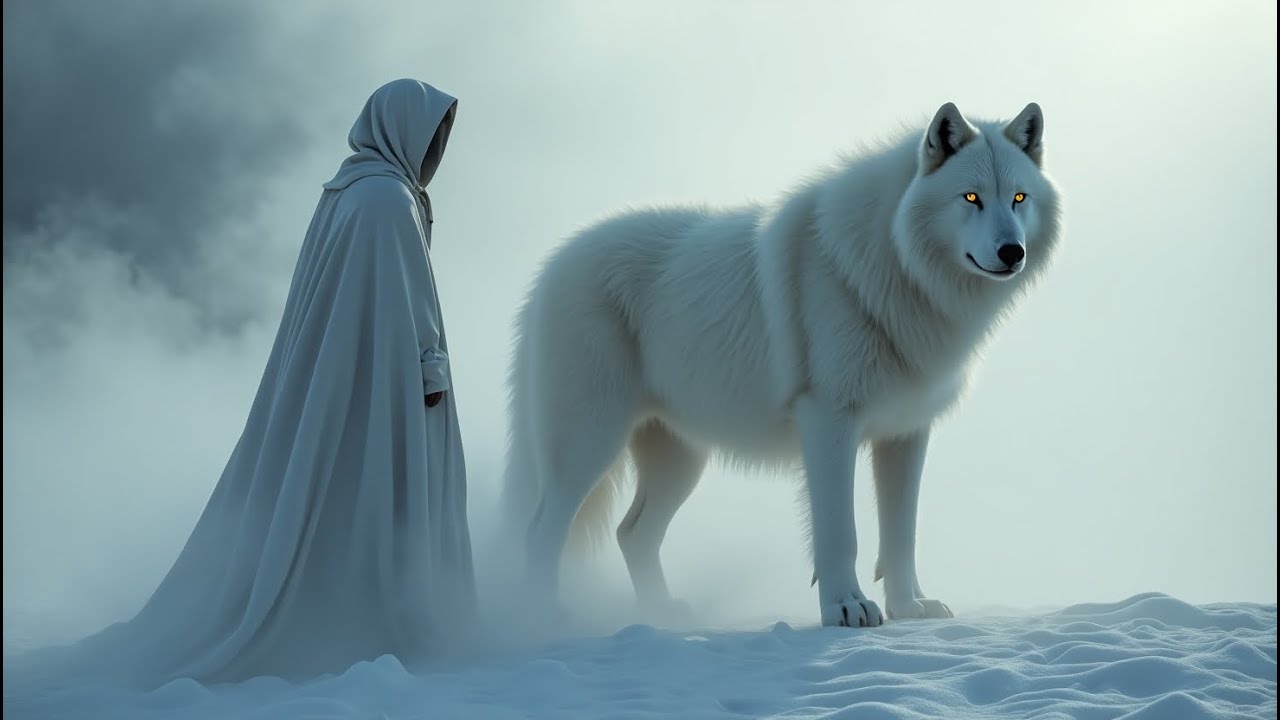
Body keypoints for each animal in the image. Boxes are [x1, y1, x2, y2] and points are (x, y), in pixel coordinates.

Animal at [502, 102, 1062, 627]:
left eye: (1018, 198)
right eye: (971, 198)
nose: (1012, 252)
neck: (893, 267)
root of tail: (551, 266)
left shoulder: (906, 432)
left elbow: (901, 536)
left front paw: (908, 608)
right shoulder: (829, 420)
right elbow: (841, 533)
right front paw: (846, 609)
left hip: (680, 461)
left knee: (632, 534)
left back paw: (662, 615)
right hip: (589, 444)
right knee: (540, 530)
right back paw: (540, 619)